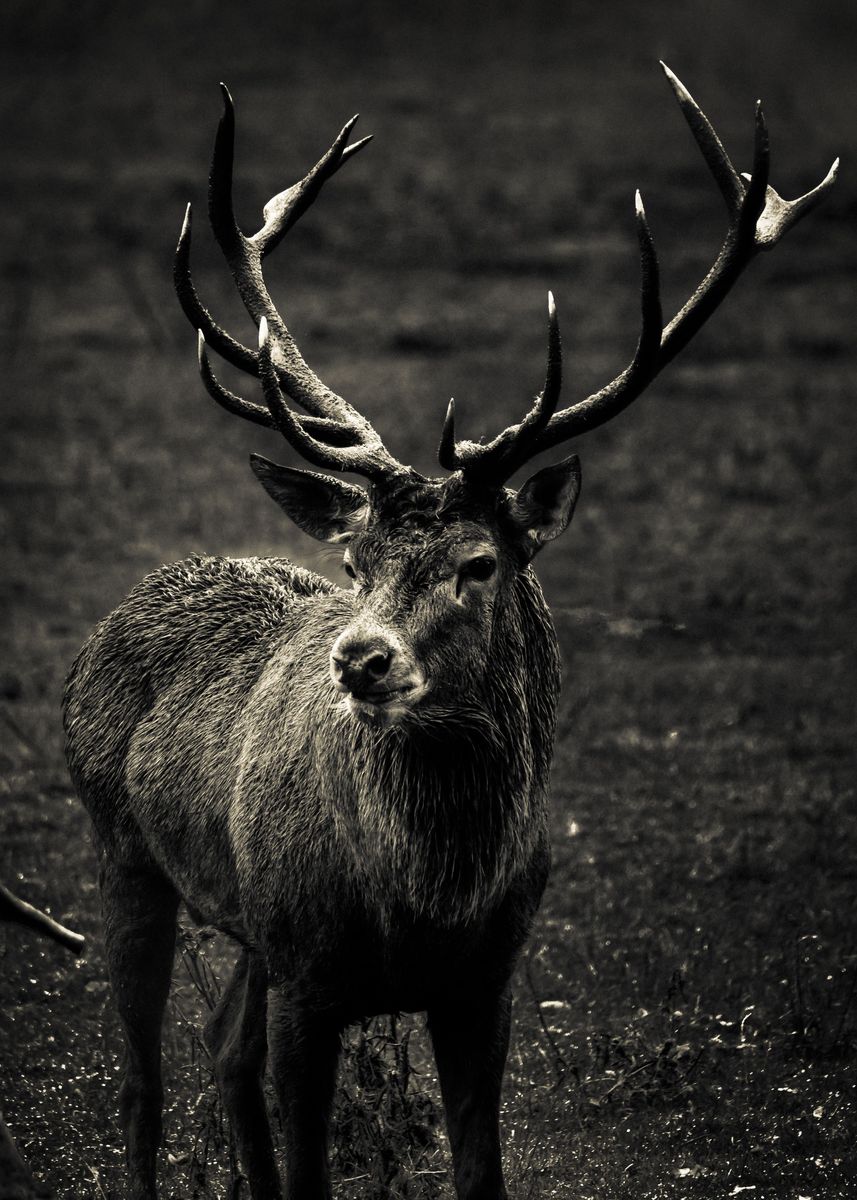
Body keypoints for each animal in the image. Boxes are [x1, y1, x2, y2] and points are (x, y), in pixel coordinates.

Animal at [62, 64, 836, 1200]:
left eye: (478, 564)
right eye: (354, 566)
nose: (358, 658)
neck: (422, 902)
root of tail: (112, 617)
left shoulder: (485, 980)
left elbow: (480, 1170)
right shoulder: (310, 977)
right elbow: (308, 1166)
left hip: (245, 920)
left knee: (221, 1045)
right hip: (120, 849)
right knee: (140, 1083)